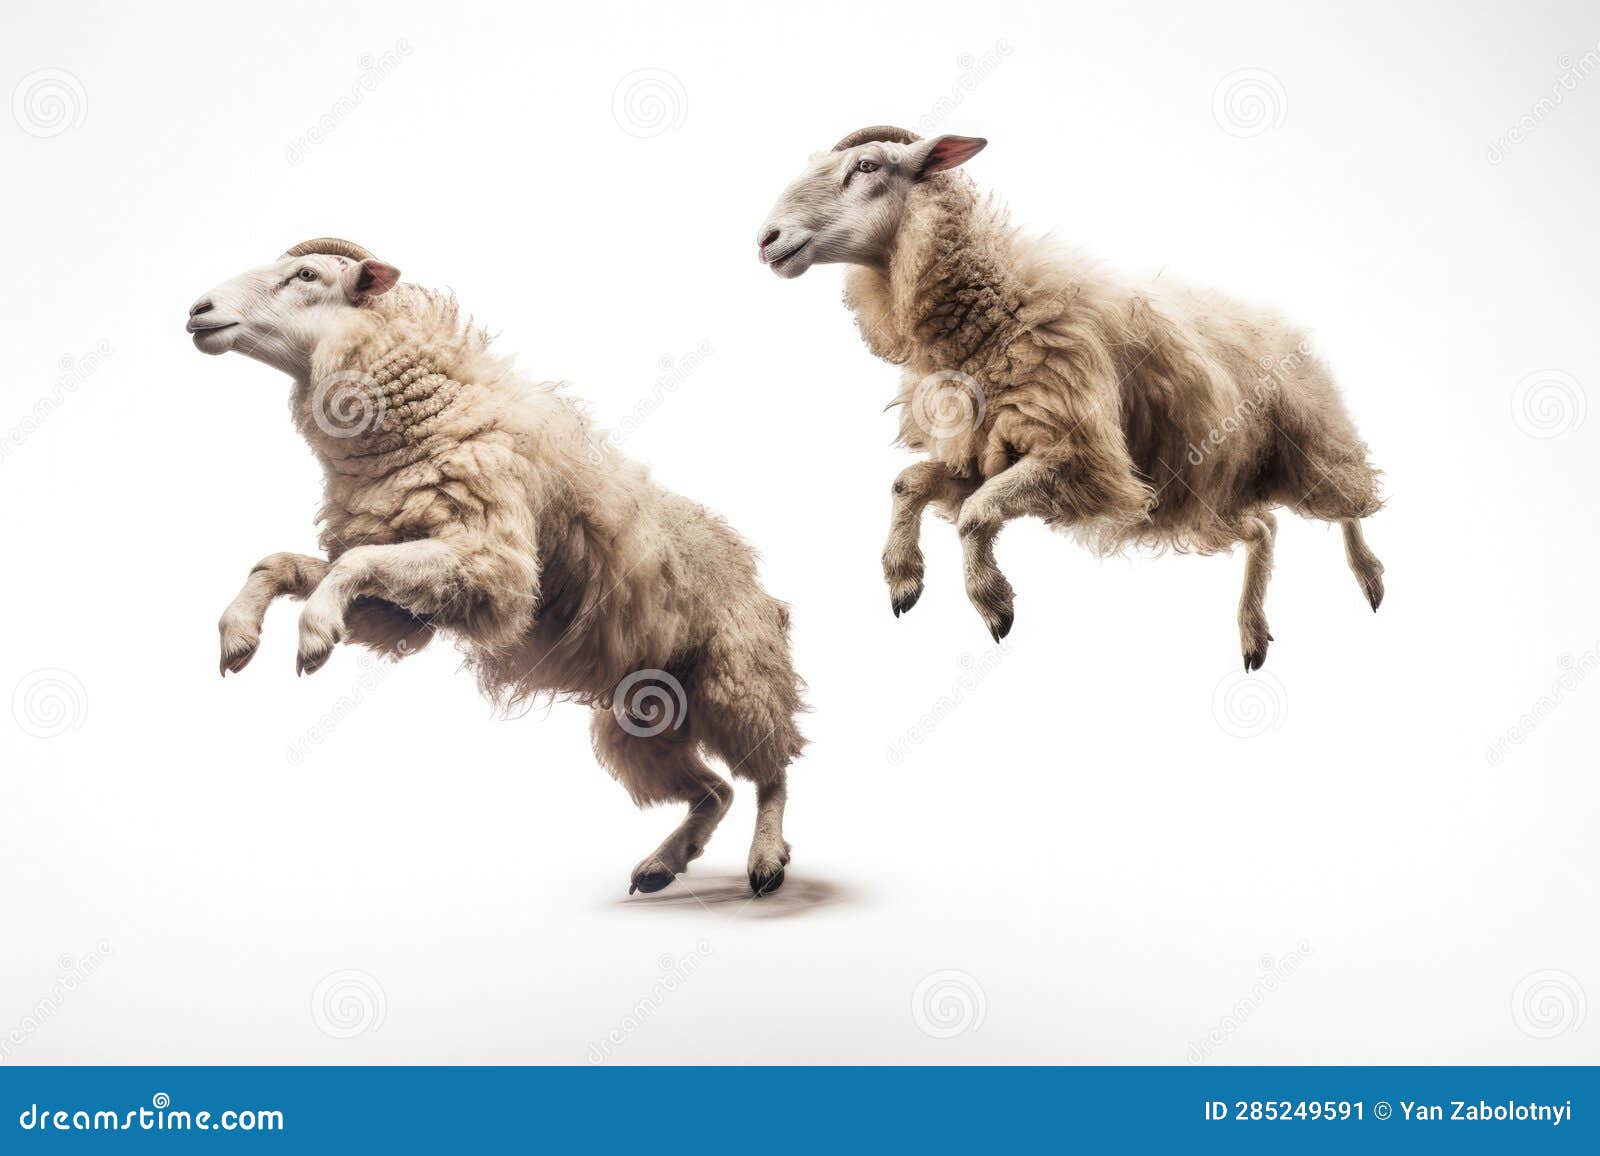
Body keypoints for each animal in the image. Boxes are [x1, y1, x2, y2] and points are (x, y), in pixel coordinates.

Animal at [188, 237, 803, 895]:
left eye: (306, 274)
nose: (198, 311)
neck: (437, 410)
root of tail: (754, 574)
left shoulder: (491, 563)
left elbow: (350, 561)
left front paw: (315, 634)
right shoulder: (401, 610)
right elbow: (284, 563)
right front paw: (238, 636)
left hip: (735, 677)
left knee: (771, 773)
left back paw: (766, 859)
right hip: (646, 717)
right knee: (715, 792)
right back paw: (665, 862)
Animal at [756, 126, 1385, 669]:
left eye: (866, 166)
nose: (766, 240)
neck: (998, 313)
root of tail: (1277, 323)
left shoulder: (1078, 458)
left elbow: (976, 515)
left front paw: (994, 603)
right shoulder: (984, 453)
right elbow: (908, 485)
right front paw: (903, 578)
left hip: (1290, 455)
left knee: (1347, 506)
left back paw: (1370, 578)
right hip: (1193, 496)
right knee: (1265, 528)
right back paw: (1255, 635)